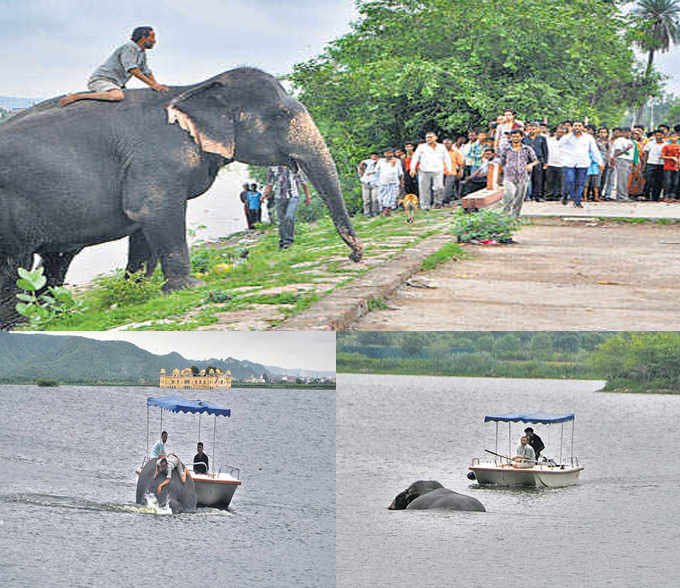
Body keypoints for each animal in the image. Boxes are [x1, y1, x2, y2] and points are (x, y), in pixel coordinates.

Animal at [0, 67, 363, 327]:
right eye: (279, 116)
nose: (355, 256)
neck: (192, 89)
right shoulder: (157, 159)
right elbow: (154, 211)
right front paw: (190, 288)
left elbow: (142, 228)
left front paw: (138, 292)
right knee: (14, 262)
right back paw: (20, 324)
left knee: (56, 259)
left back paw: (50, 313)